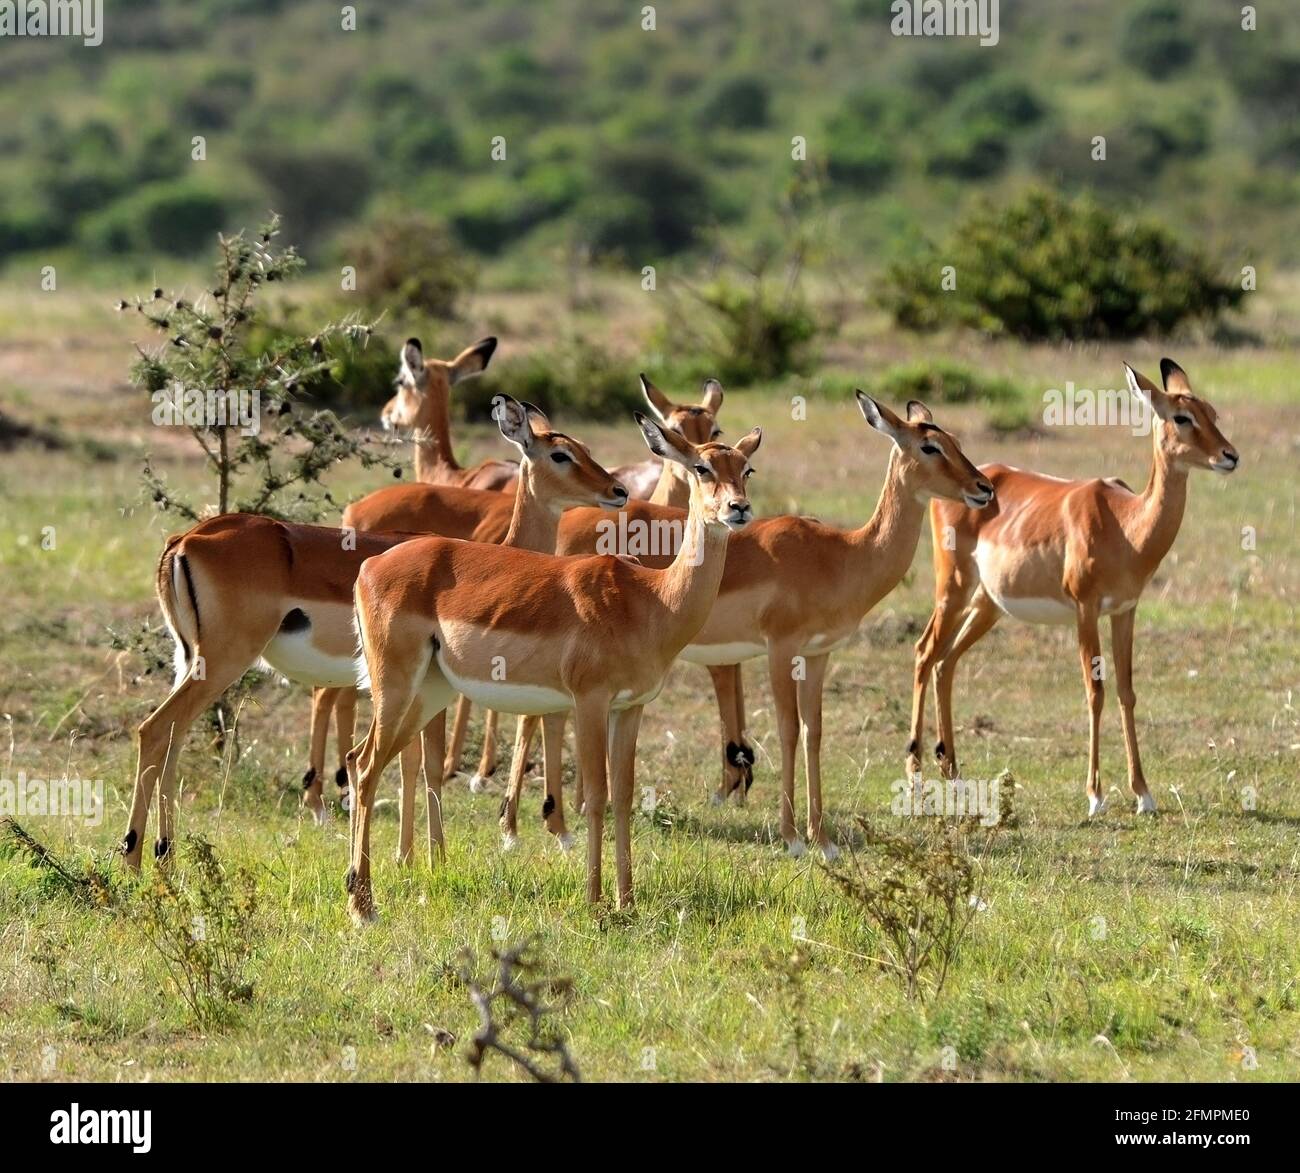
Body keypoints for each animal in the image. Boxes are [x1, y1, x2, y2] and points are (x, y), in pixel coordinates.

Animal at [120, 396, 624, 869]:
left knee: (170, 737)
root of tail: (186, 540)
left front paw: (408, 856)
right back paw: (134, 857)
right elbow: (428, 765)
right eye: (560, 453)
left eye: (585, 447)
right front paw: (433, 857)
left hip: (190, 660)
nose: (616, 491)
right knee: (154, 730)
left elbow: (408, 762)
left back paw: (163, 855)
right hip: (224, 660)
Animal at [346, 416, 761, 921]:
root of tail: (370, 564)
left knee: (359, 759)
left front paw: (627, 900)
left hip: (430, 693)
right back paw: (363, 907)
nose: (738, 509)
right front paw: (596, 900)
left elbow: (624, 793)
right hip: (396, 687)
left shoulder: (631, 708)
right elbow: (597, 794)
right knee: (368, 766)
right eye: (702, 467)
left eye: (746, 468)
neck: (651, 600)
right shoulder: (589, 701)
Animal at [543, 393, 994, 857]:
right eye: (930, 446)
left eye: (955, 441)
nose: (983, 488)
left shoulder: (817, 652)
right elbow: (787, 729)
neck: (841, 555)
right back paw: (558, 825)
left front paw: (823, 839)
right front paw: (792, 837)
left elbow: (814, 732)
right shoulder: (781, 647)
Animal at [907, 359, 1238, 816]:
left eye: (1212, 412)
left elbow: (1127, 692)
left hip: (988, 605)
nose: (1230, 456)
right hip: (953, 588)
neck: (1126, 524)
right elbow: (1094, 691)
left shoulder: (1124, 610)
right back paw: (916, 775)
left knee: (946, 661)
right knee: (925, 652)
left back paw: (953, 774)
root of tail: (969, 481)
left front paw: (1144, 794)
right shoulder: (1085, 609)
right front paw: (1095, 796)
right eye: (1181, 416)